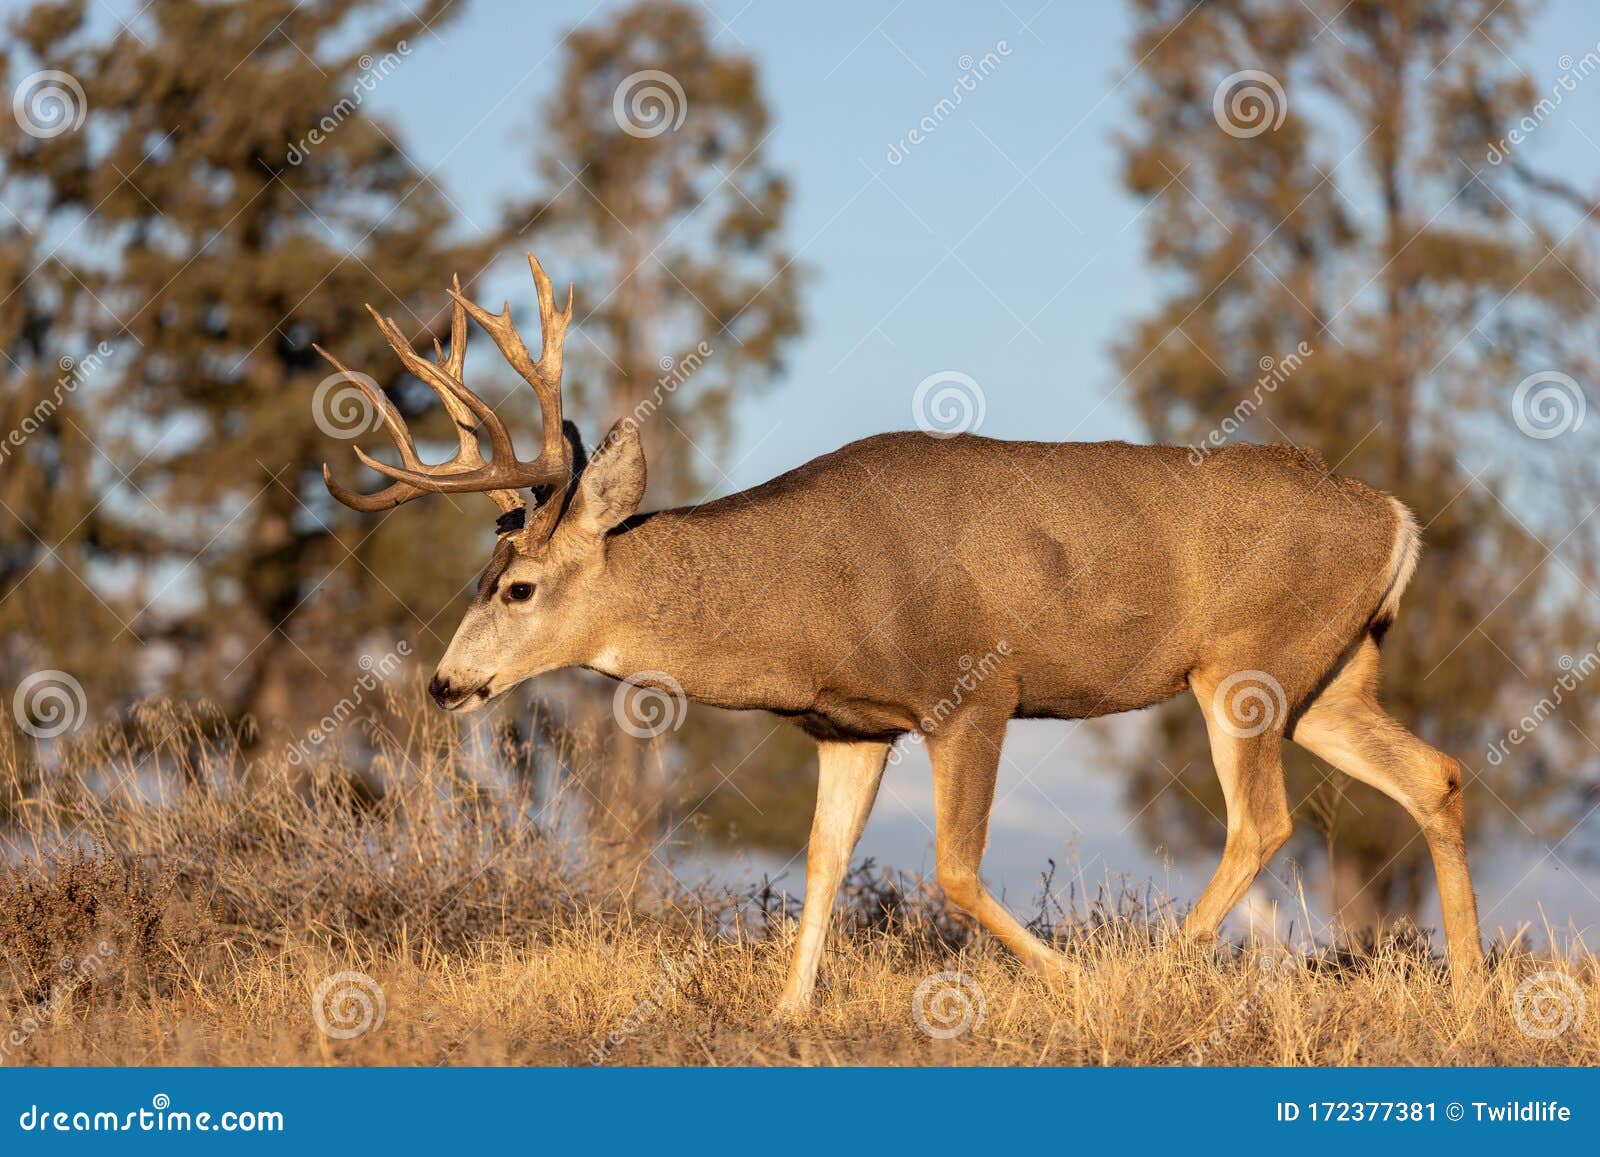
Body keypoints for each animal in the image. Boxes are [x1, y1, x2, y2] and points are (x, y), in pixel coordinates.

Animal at [315, 253, 1483, 1015]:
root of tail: (1395, 516)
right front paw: (789, 1010)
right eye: (480, 577)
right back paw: (1470, 986)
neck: (812, 596)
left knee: (1263, 821)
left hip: (1241, 663)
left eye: (516, 586)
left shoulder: (975, 691)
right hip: (1330, 674)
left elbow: (953, 868)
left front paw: (1074, 979)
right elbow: (826, 857)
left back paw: (1154, 969)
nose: (443, 684)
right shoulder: (849, 724)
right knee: (1433, 771)